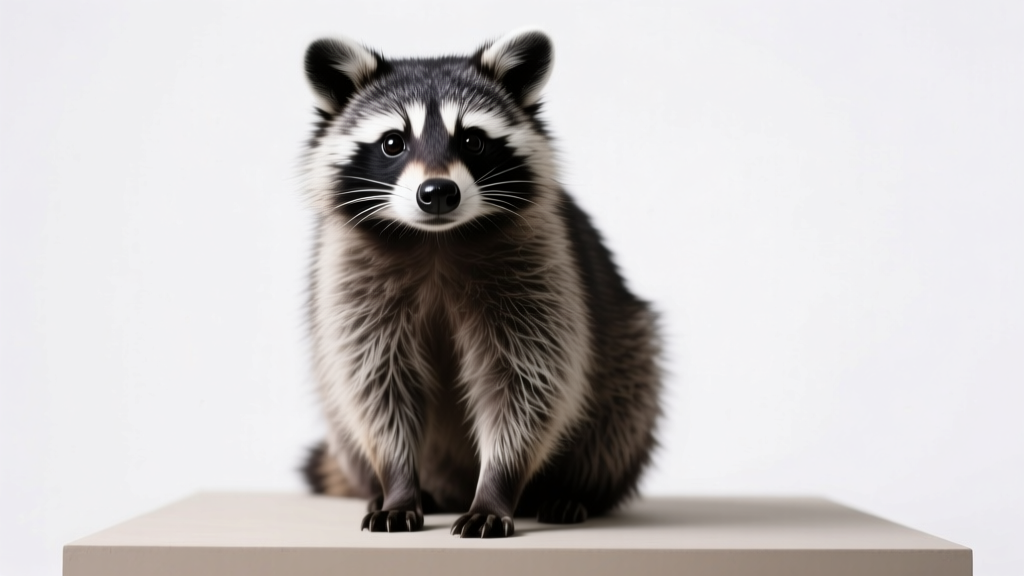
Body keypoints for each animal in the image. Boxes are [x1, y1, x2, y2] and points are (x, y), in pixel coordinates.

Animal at [300, 29, 661, 538]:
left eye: (472, 140)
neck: (435, 239)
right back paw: (399, 489)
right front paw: (398, 484)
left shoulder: (541, 266)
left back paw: (572, 492)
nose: (437, 193)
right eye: (393, 142)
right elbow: (375, 383)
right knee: (342, 403)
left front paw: (496, 488)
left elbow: (529, 381)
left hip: (629, 358)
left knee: (621, 411)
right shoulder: (351, 277)